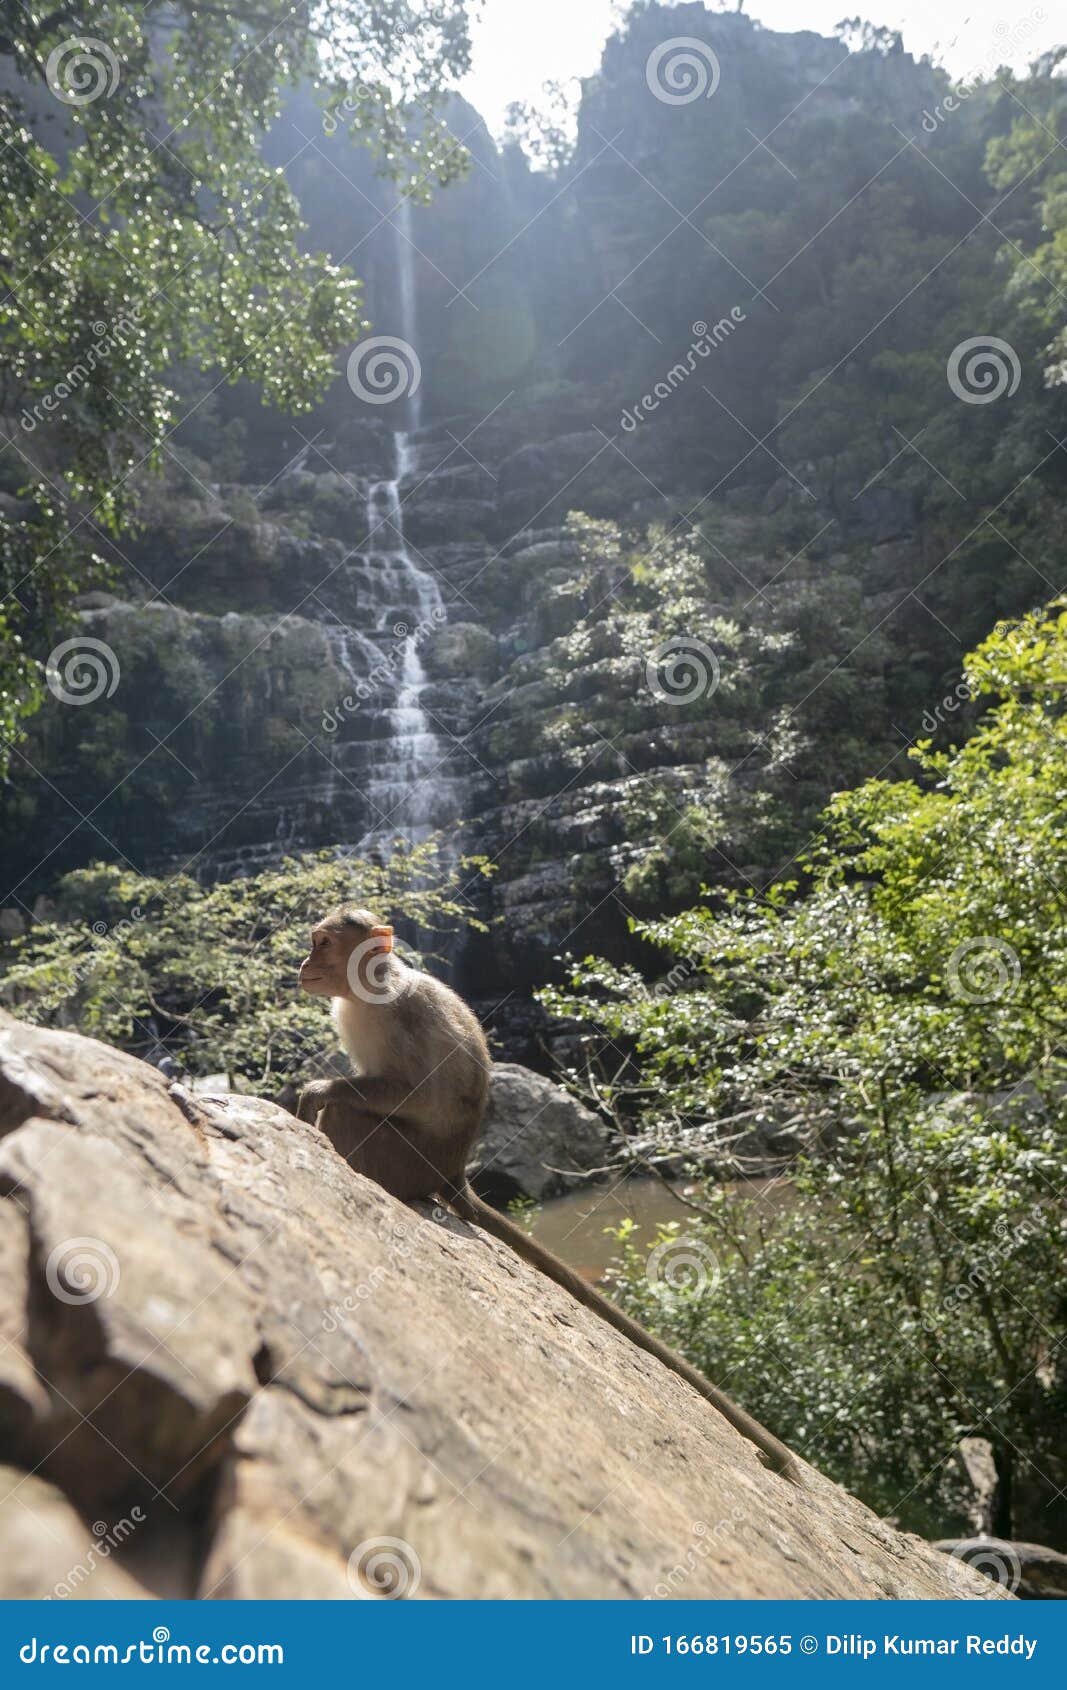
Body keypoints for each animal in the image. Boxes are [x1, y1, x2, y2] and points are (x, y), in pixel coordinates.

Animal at [296, 907, 800, 1483]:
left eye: (323, 943)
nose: (304, 964)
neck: (369, 994)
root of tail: (452, 1173)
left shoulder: (406, 1016)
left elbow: (418, 1094)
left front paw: (316, 1091)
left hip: (405, 1161)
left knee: (354, 1116)